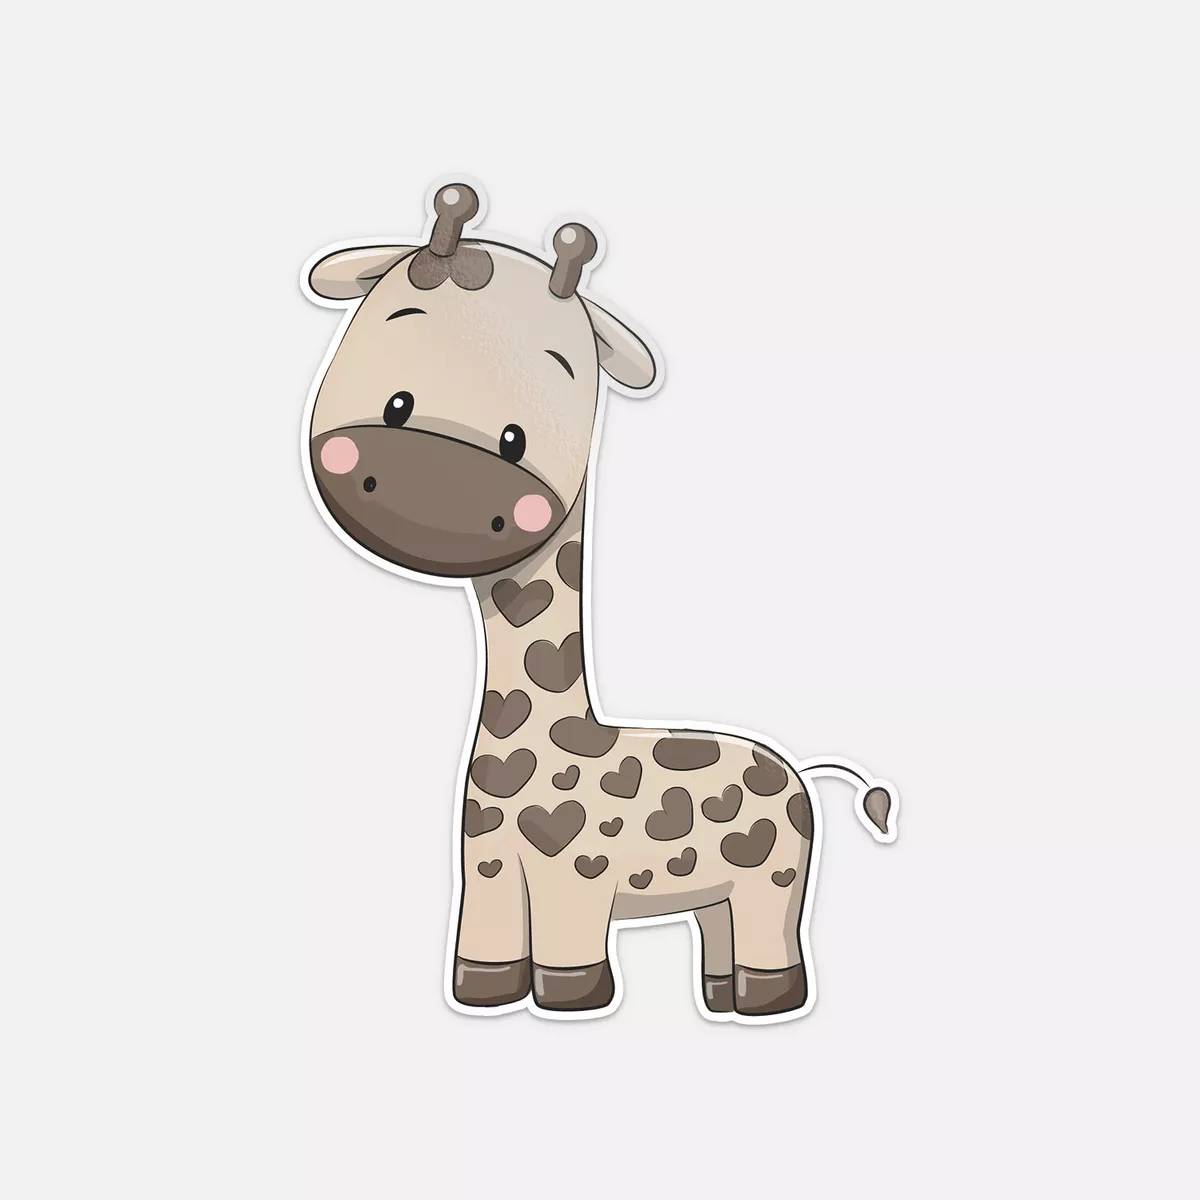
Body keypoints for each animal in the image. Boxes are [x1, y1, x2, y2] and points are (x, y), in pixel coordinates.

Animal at [302, 180, 898, 1023]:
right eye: (395, 402)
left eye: (517, 437)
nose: (414, 490)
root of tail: (800, 772)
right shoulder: (485, 867)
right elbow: (485, 943)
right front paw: (484, 994)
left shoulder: (574, 877)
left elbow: (568, 950)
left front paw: (571, 1001)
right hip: (719, 895)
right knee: (718, 933)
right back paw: (720, 999)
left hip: (775, 879)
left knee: (770, 932)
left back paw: (766, 1003)